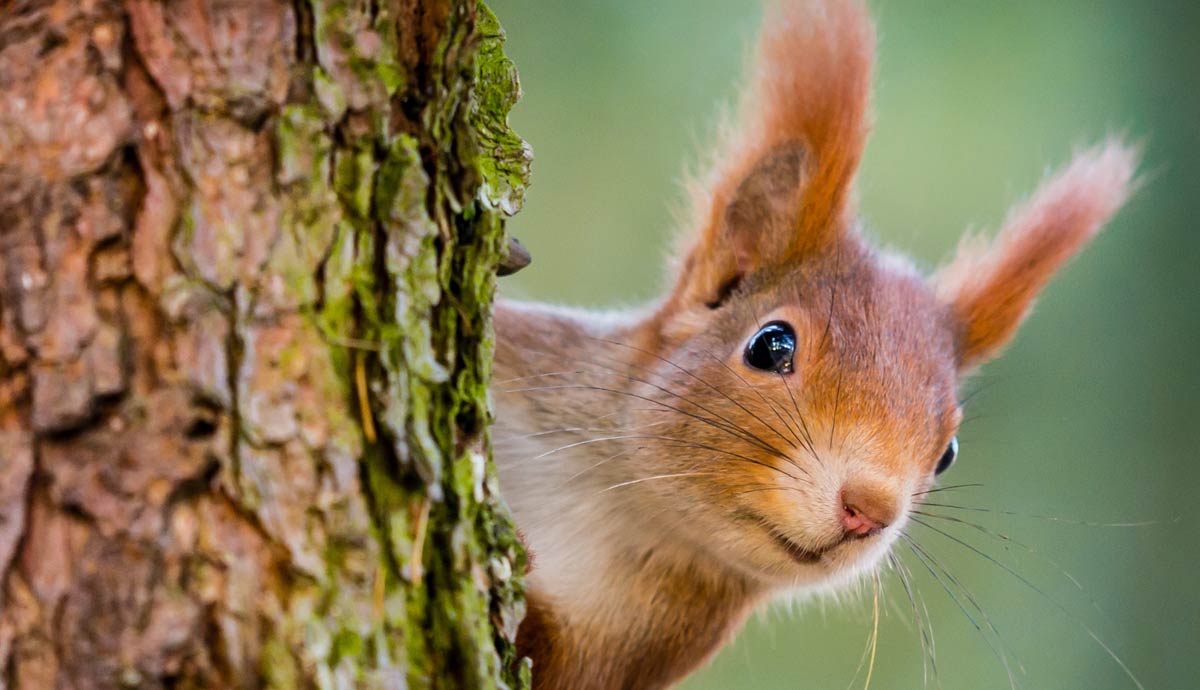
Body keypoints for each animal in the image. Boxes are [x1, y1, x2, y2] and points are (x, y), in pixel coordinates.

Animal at [491, 1, 1137, 689]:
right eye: (770, 346)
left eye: (948, 454)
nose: (869, 509)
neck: (621, 504)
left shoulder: (640, 644)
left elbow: (549, 656)